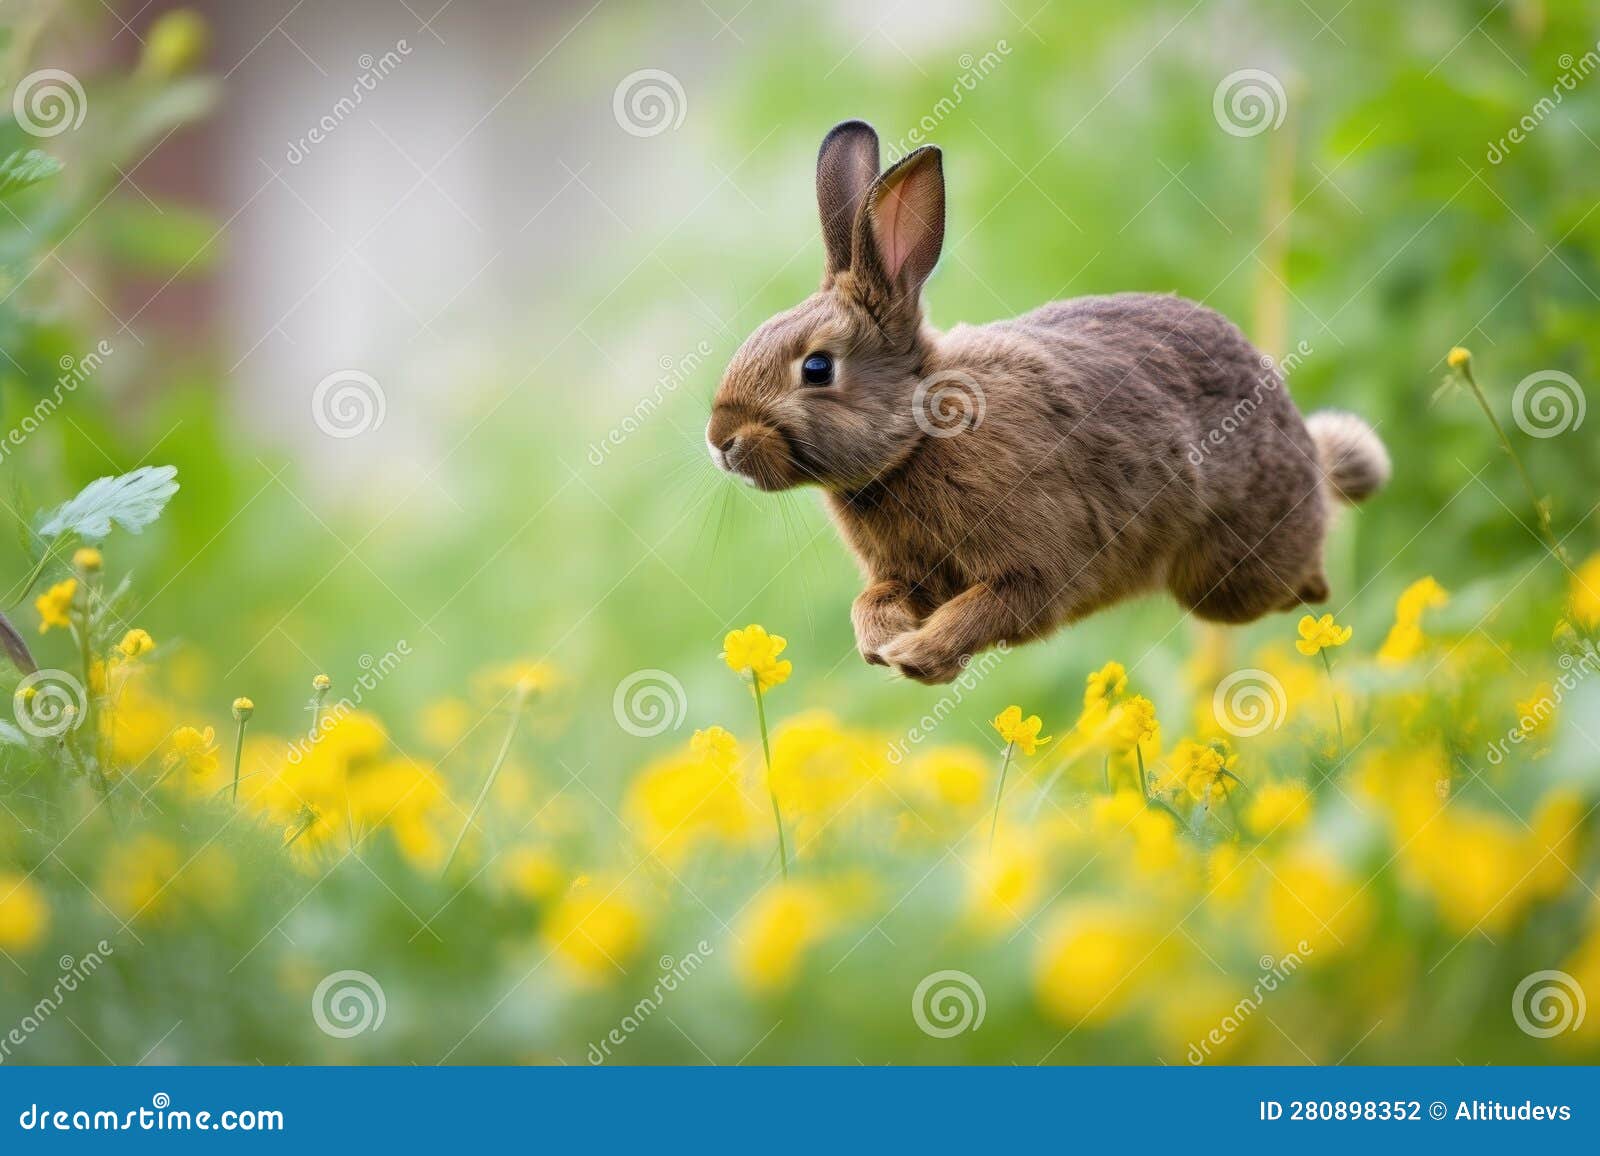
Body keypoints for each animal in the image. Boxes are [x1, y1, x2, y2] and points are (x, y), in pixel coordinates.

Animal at [706, 120, 1389, 685]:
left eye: (817, 368)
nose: (720, 442)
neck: (920, 435)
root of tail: (1304, 446)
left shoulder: (1035, 565)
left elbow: (989, 608)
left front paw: (916, 656)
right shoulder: (903, 572)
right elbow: (871, 601)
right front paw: (883, 644)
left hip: (1228, 578)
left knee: (1302, 583)